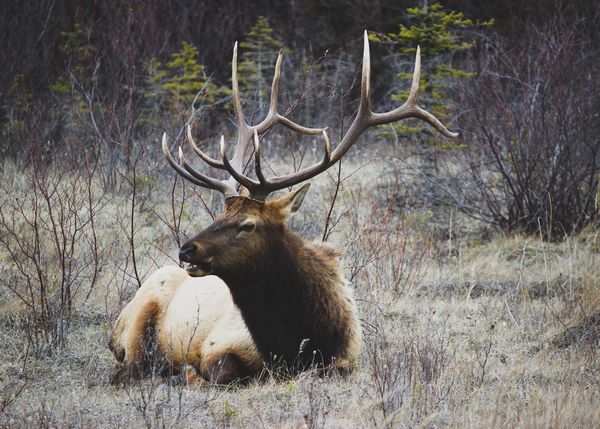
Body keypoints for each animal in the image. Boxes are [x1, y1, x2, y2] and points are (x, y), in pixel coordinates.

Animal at [110, 30, 454, 382]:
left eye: (248, 224)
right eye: (221, 214)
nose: (186, 250)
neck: (300, 340)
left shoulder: (346, 360)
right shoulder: (218, 345)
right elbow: (213, 373)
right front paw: (188, 373)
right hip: (137, 321)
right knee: (128, 370)